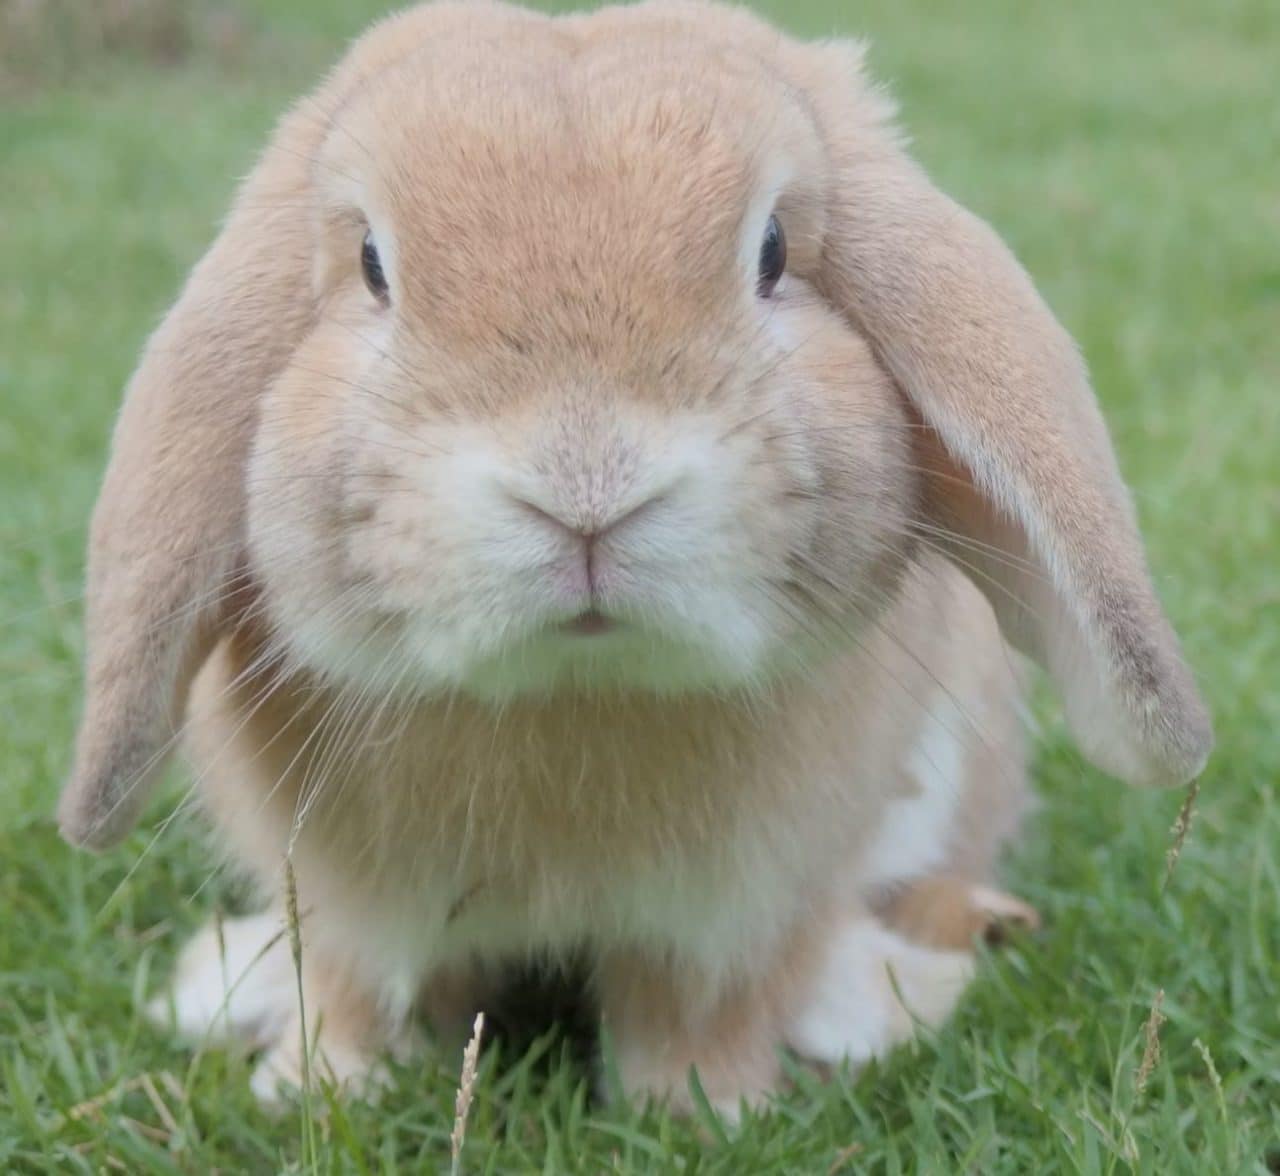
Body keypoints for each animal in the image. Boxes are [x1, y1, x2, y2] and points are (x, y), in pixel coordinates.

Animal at [59, 0, 1212, 1115]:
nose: (585, 487)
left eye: (773, 251)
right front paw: (317, 1090)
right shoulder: (346, 908)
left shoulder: (736, 914)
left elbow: (696, 1009)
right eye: (373, 268)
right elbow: (356, 992)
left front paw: (704, 1111)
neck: (574, 692)